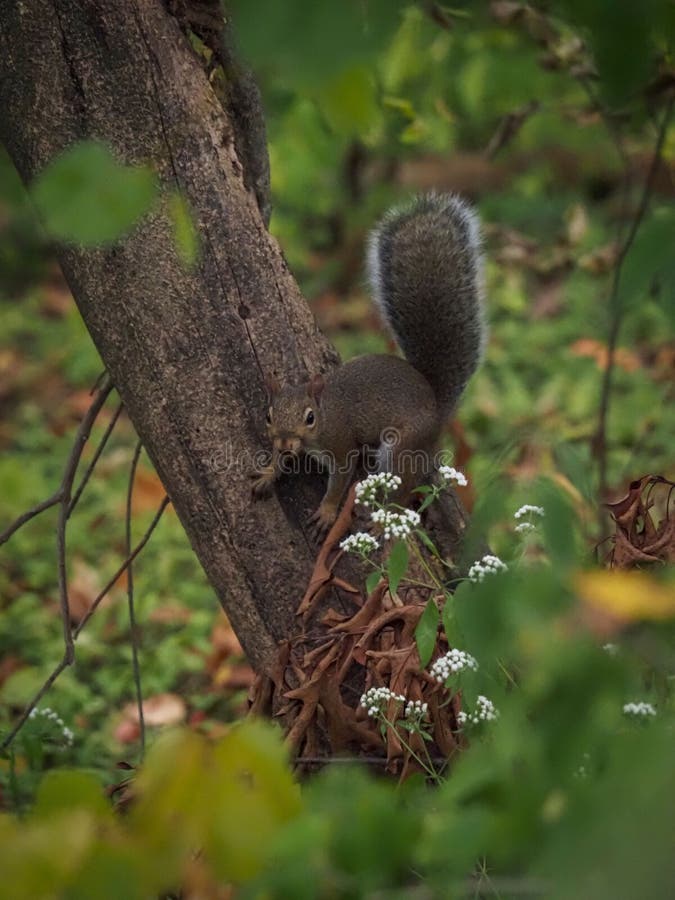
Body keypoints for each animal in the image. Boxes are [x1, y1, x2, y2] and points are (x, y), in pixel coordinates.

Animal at [251, 192, 486, 537]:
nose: (284, 442)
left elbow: (339, 481)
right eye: (268, 416)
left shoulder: (341, 446)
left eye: (310, 418)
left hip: (402, 446)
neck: (324, 413)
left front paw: (326, 512)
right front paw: (269, 471)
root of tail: (436, 409)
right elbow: (281, 461)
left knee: (403, 486)